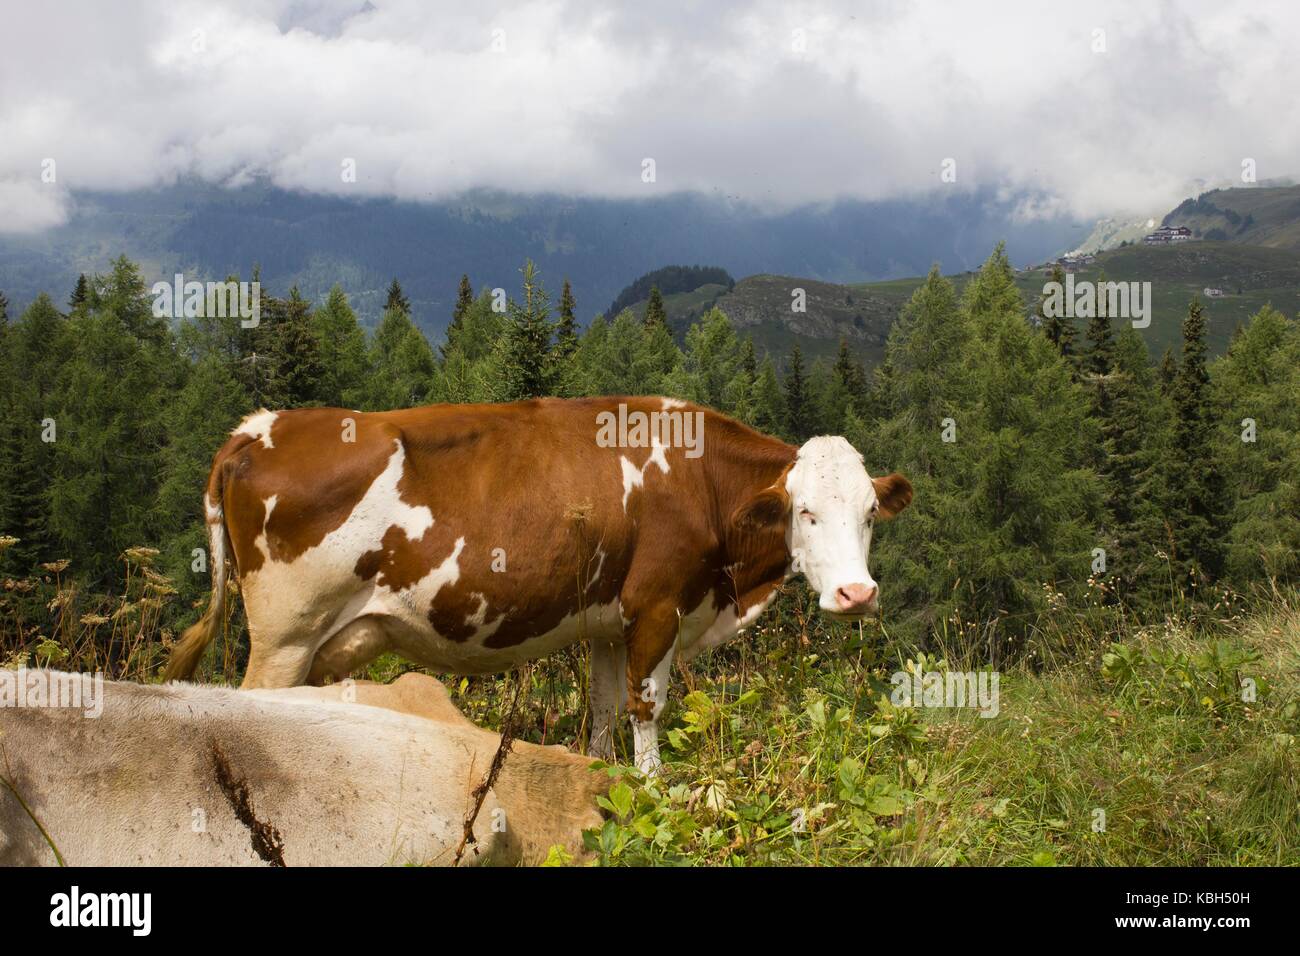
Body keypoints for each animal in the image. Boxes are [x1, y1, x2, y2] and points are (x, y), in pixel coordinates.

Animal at [164, 396, 912, 773]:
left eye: (870, 515)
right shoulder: (657, 604)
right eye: (804, 512)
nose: (856, 595)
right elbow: (647, 706)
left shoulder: (610, 619)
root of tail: (260, 426)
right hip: (283, 634)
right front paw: (655, 786)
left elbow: (605, 707)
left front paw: (607, 780)